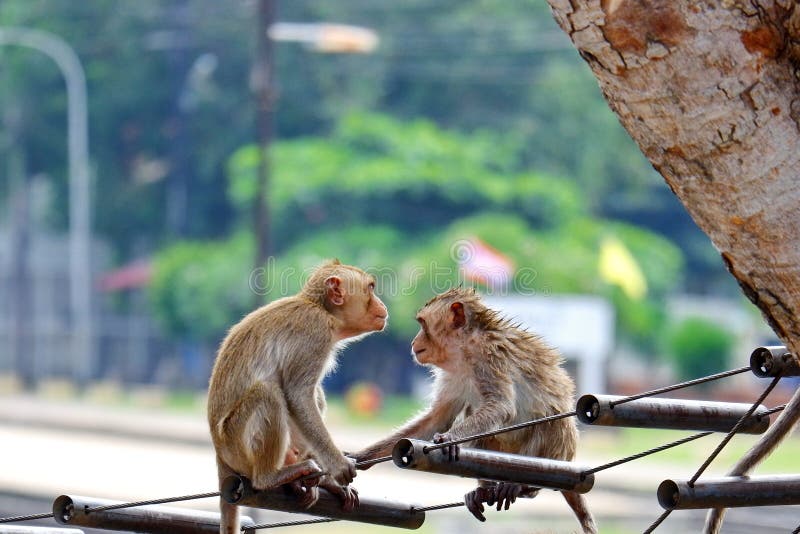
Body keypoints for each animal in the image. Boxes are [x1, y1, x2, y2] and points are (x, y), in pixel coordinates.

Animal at [207, 259, 388, 534]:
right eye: (371, 288)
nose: (382, 305)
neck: (322, 310)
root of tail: (219, 452)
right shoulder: (316, 334)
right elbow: (298, 394)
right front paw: (337, 465)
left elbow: (306, 396)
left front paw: (330, 481)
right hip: (234, 442)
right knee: (269, 393)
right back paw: (270, 476)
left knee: (312, 393)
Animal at [350, 287, 597, 533]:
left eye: (423, 324)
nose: (413, 342)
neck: (464, 349)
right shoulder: (453, 372)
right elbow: (438, 418)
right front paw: (361, 457)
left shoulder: (489, 354)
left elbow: (500, 406)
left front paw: (449, 439)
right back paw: (483, 491)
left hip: (558, 451)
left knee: (549, 419)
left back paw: (523, 488)